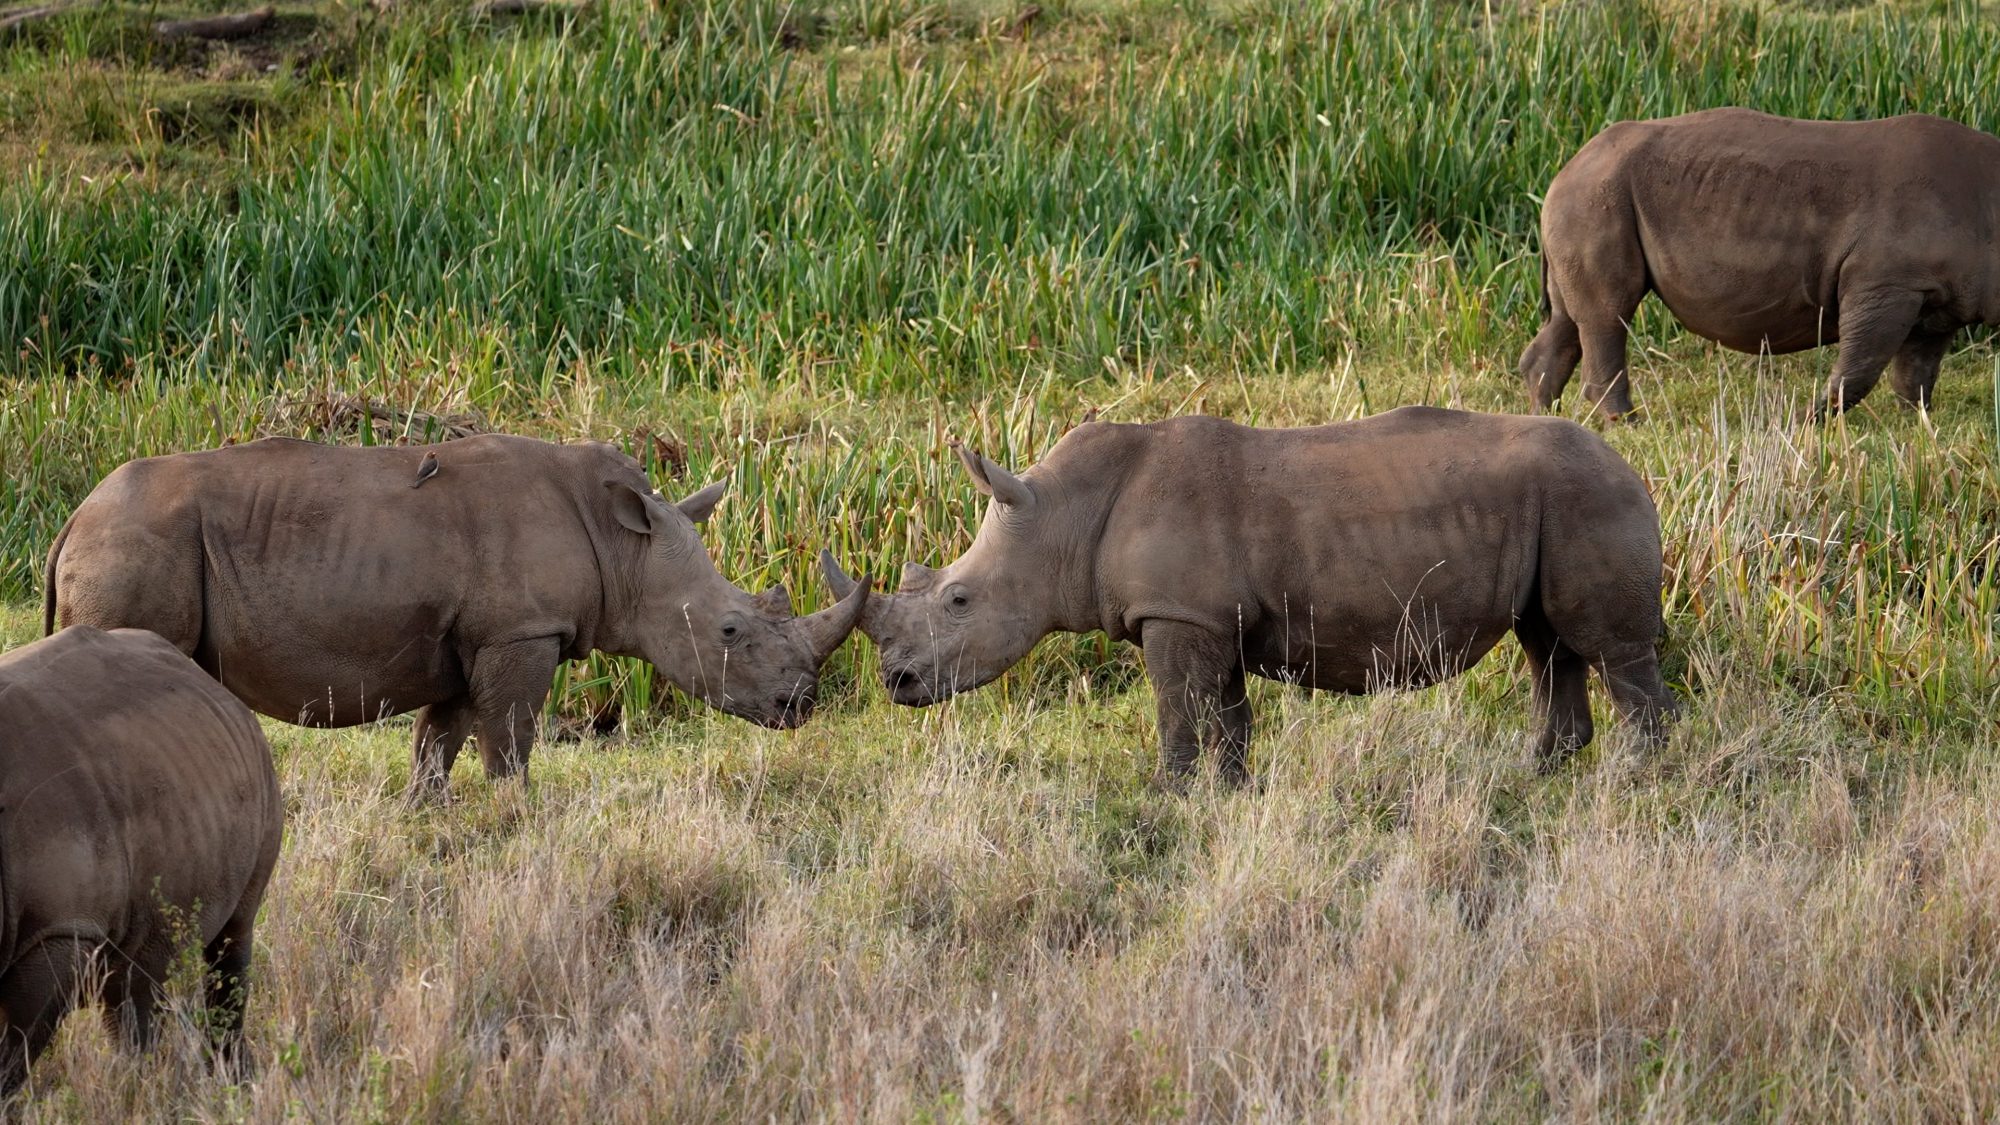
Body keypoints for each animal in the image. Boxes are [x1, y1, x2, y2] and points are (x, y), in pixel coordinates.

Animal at [0, 626, 282, 1094]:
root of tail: (223, 694)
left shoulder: (59, 928)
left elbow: (12, 1049)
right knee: (138, 974)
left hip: (262, 778)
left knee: (233, 935)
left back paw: (228, 1085)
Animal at [46, 435, 870, 798]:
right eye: (732, 631)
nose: (801, 704)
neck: (625, 549)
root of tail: (72, 518)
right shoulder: (521, 630)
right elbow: (508, 735)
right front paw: (515, 811)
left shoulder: (462, 640)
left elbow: (437, 738)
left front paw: (426, 813)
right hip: (137, 544)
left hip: (128, 542)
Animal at [822, 408, 1677, 783]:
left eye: (958, 601)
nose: (896, 682)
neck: (1061, 515)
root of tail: (1634, 467)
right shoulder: (1210, 617)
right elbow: (1227, 715)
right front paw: (1230, 790)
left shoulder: (1177, 614)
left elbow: (1177, 708)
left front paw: (1168, 792)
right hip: (1557, 505)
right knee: (1547, 641)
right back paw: (1534, 773)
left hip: (1588, 499)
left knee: (1607, 647)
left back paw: (1637, 777)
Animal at [1519, 108, 2000, 419]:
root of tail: (1566, 167)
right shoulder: (1888, 283)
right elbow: (1862, 362)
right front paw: (1809, 421)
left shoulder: (1934, 296)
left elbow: (1916, 369)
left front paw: (1917, 425)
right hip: (1596, 196)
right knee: (1608, 314)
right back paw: (1624, 423)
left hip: (1588, 197)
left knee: (1570, 317)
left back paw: (1547, 415)